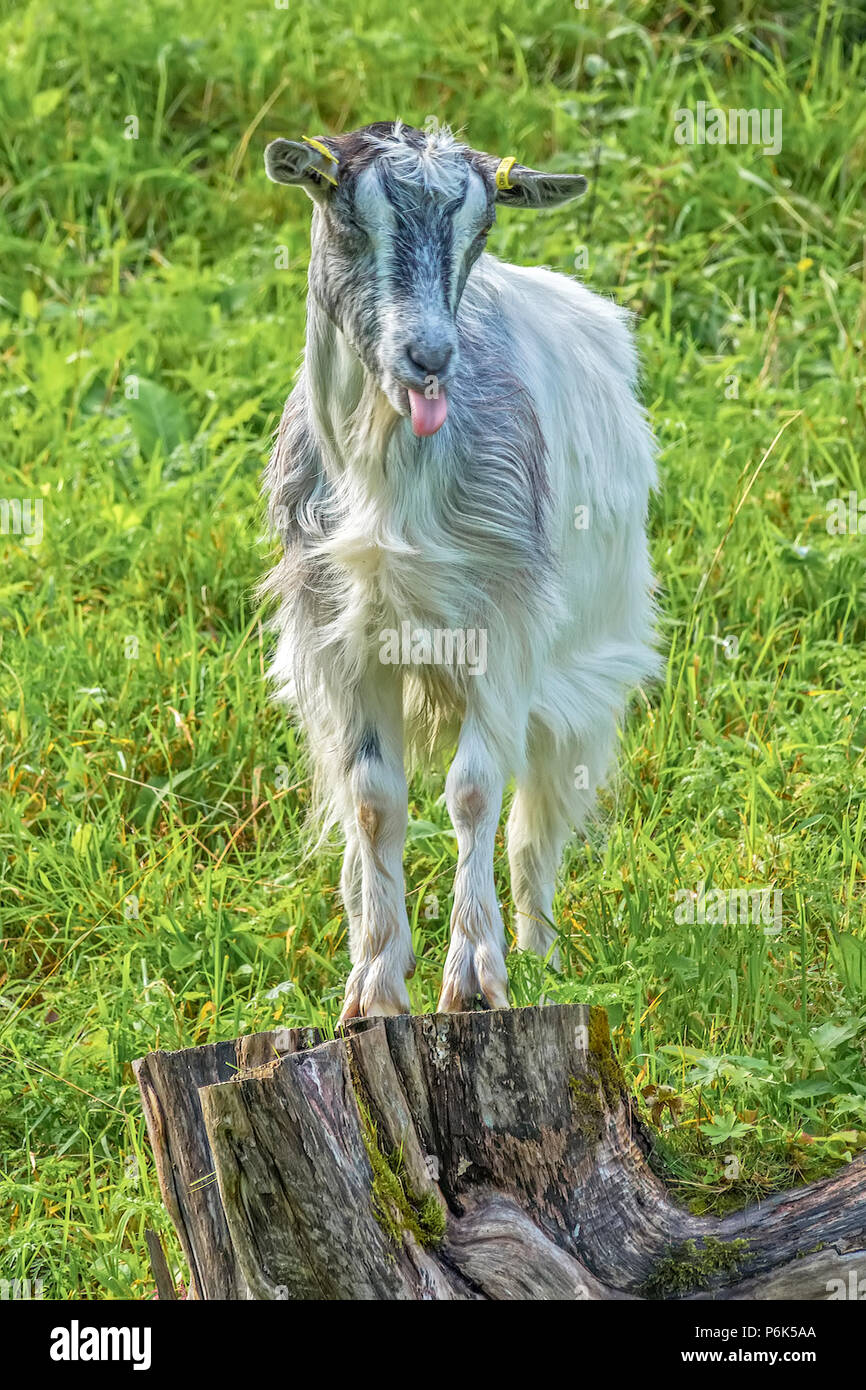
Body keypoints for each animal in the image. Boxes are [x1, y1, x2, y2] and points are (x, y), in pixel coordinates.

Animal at [261, 121, 657, 1021]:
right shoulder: (337, 639)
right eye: (347, 212)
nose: (430, 355)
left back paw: (542, 953)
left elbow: (475, 789)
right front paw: (375, 985)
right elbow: (374, 801)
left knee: (538, 818)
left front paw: (475, 977)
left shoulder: (503, 626)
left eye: (481, 230)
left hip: (583, 673)